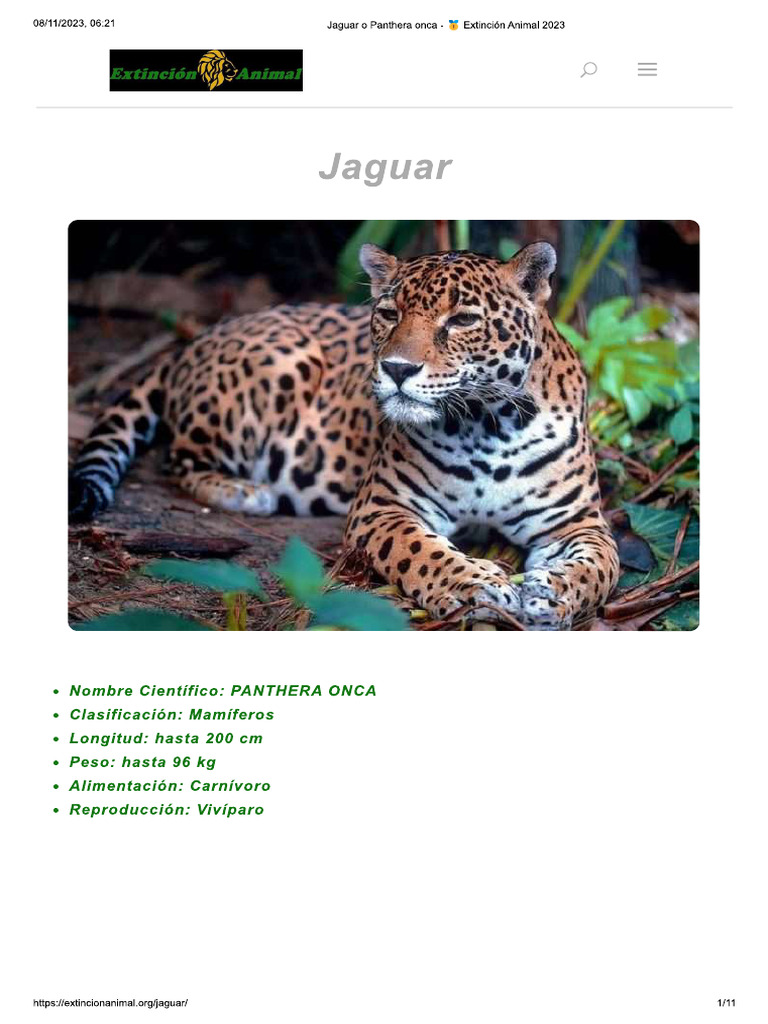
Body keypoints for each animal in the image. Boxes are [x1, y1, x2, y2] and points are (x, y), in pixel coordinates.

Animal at [69, 241, 620, 629]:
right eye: (389, 313)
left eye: (463, 319)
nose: (397, 368)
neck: (486, 425)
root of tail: (197, 338)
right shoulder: (383, 508)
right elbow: (422, 552)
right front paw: (474, 585)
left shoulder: (578, 523)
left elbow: (599, 568)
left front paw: (552, 592)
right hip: (279, 363)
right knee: (179, 458)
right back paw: (245, 492)